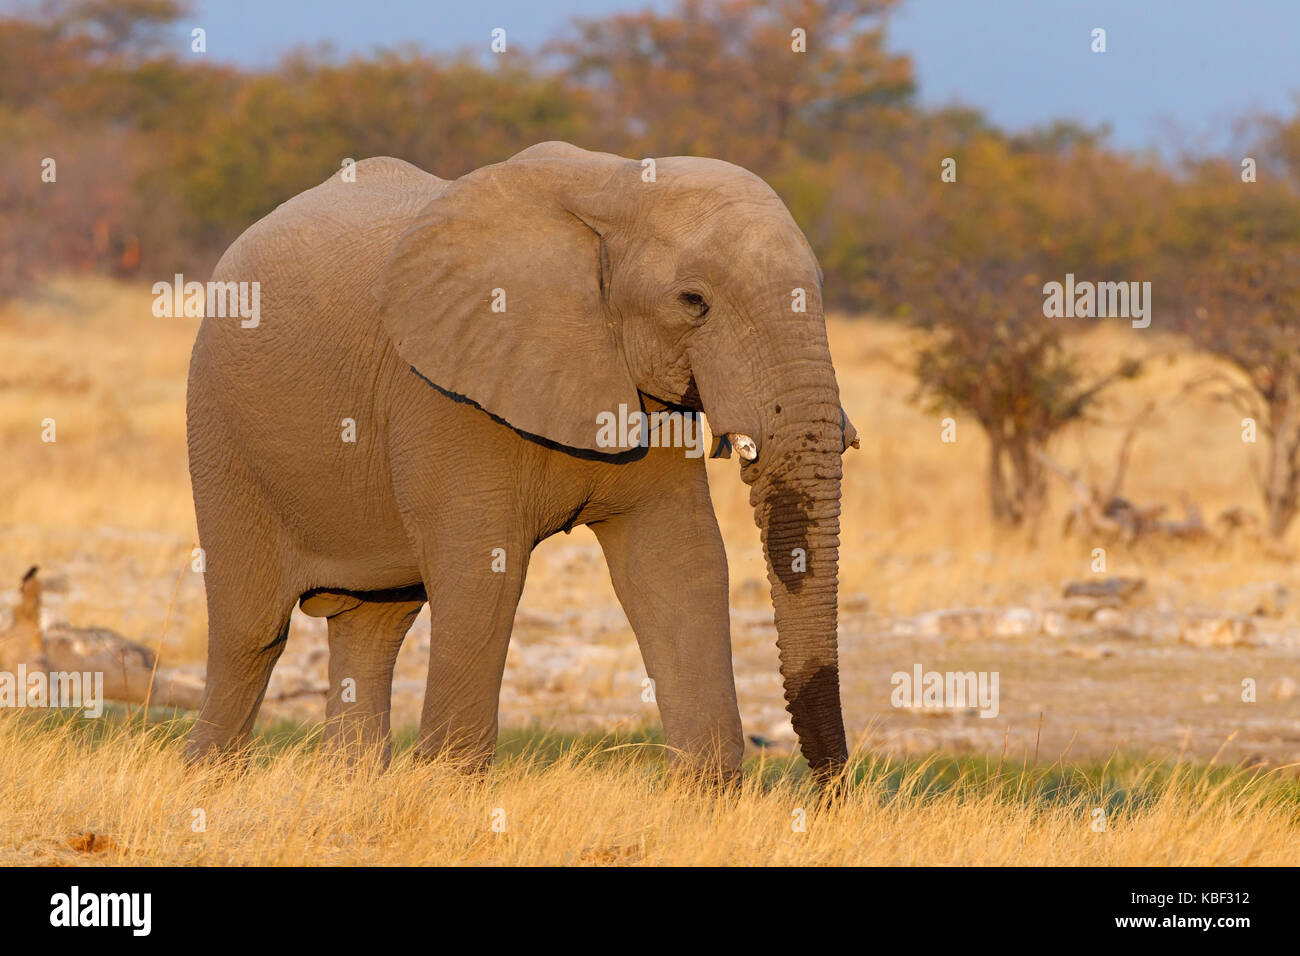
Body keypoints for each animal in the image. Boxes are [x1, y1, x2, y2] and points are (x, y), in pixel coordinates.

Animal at [184, 141, 856, 782]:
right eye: (694, 302)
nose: (831, 788)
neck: (613, 187)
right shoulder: (445, 390)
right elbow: (482, 571)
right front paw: (448, 790)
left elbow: (679, 561)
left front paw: (704, 796)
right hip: (219, 428)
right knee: (252, 631)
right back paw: (212, 785)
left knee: (374, 626)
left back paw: (350, 787)